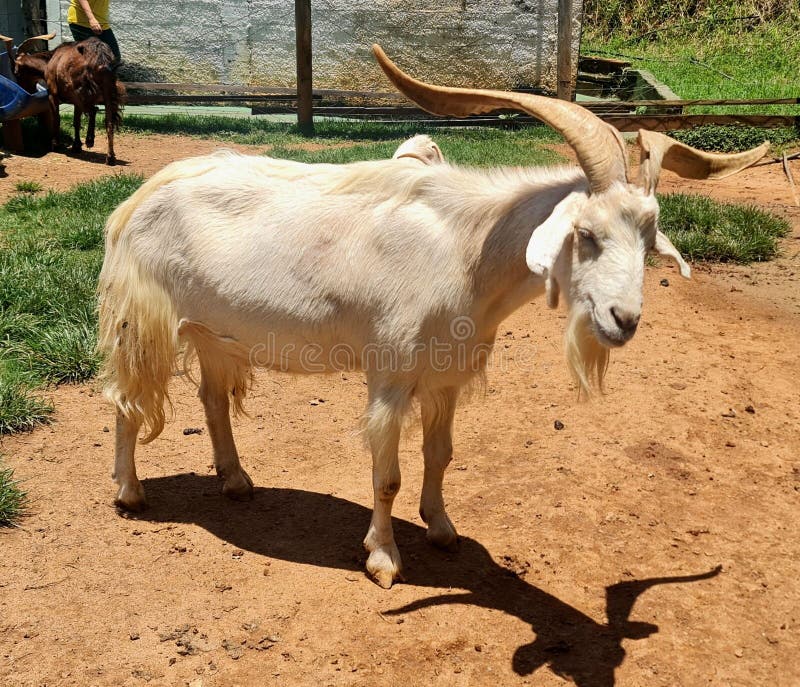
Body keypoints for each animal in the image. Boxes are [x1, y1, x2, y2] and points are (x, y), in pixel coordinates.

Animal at [97, 45, 768, 588]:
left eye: (649, 239)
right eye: (586, 234)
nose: (623, 319)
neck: (467, 254)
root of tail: (136, 200)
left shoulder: (446, 375)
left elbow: (440, 454)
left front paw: (442, 528)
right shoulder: (391, 376)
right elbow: (386, 475)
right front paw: (384, 560)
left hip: (217, 332)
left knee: (212, 398)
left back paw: (236, 480)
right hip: (144, 320)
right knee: (127, 402)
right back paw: (130, 493)